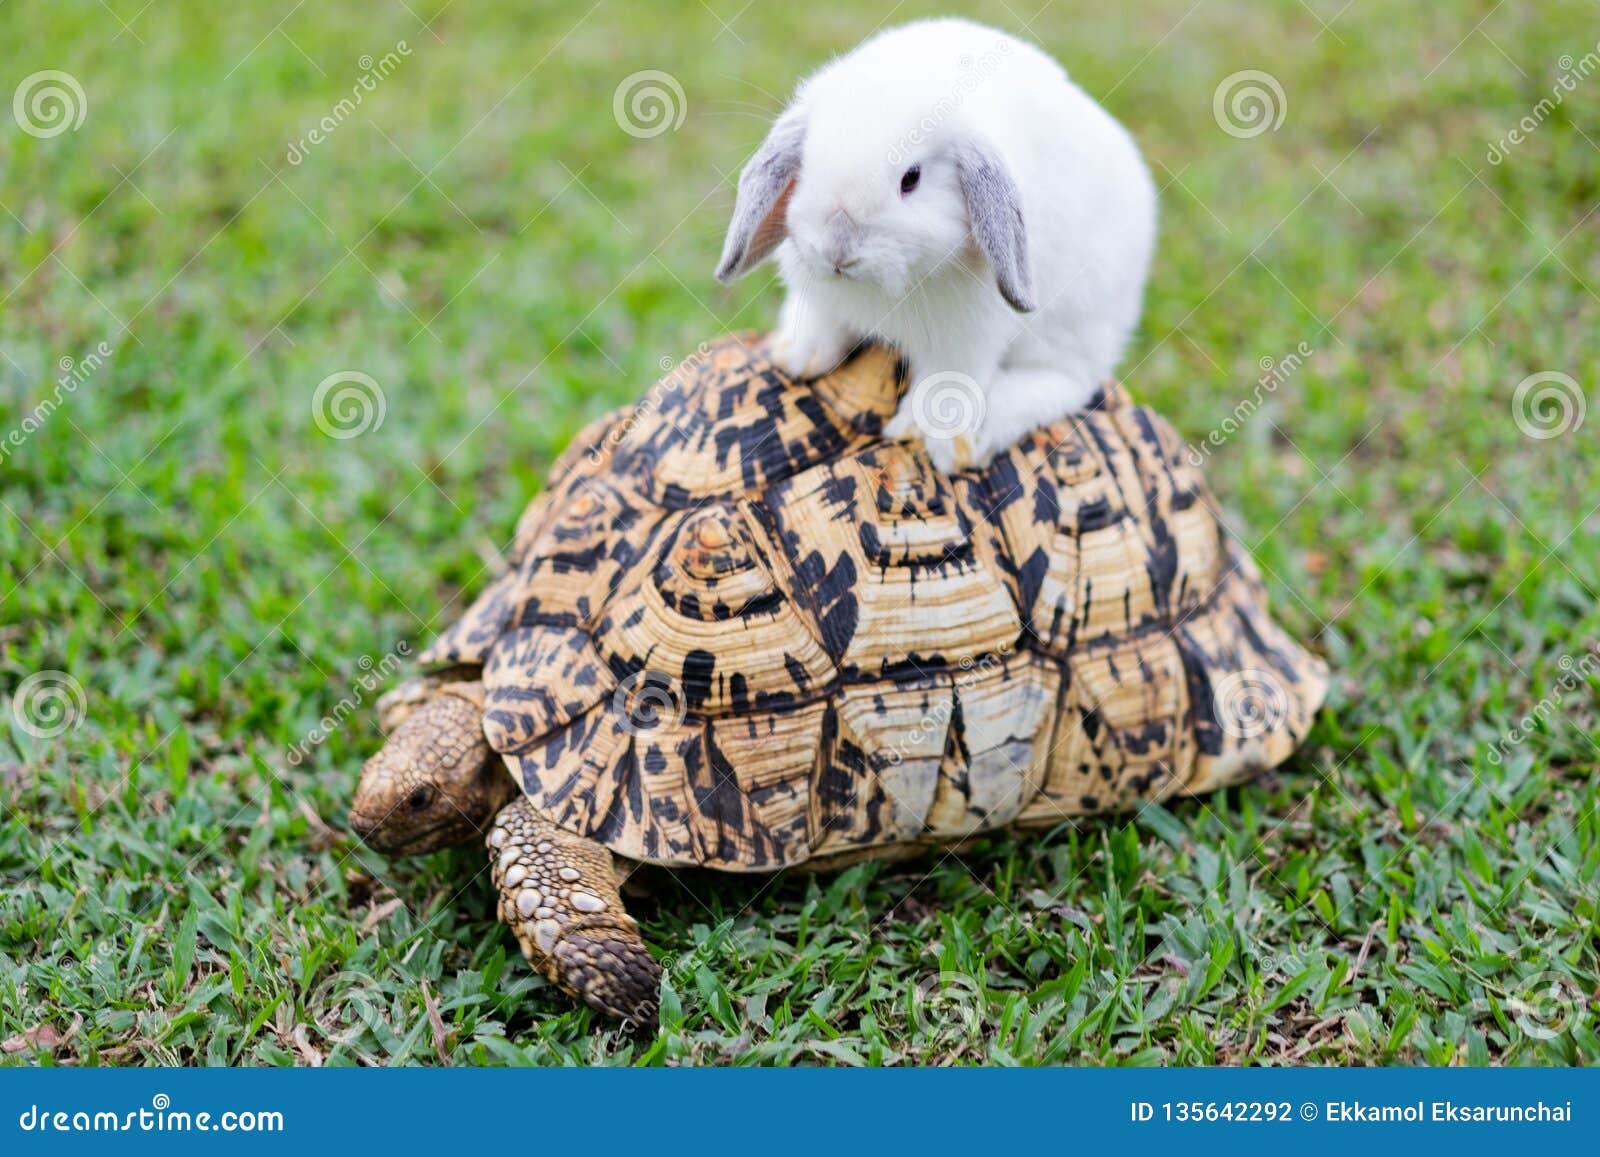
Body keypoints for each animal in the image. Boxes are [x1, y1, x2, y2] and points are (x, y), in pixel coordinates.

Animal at [716, 17, 1158, 472]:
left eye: (910, 179)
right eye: (806, 165)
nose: (837, 251)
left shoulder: (965, 341)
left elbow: (947, 384)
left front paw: (934, 440)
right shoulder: (822, 300)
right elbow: (823, 323)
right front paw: (796, 357)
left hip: (1076, 324)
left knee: (1067, 380)